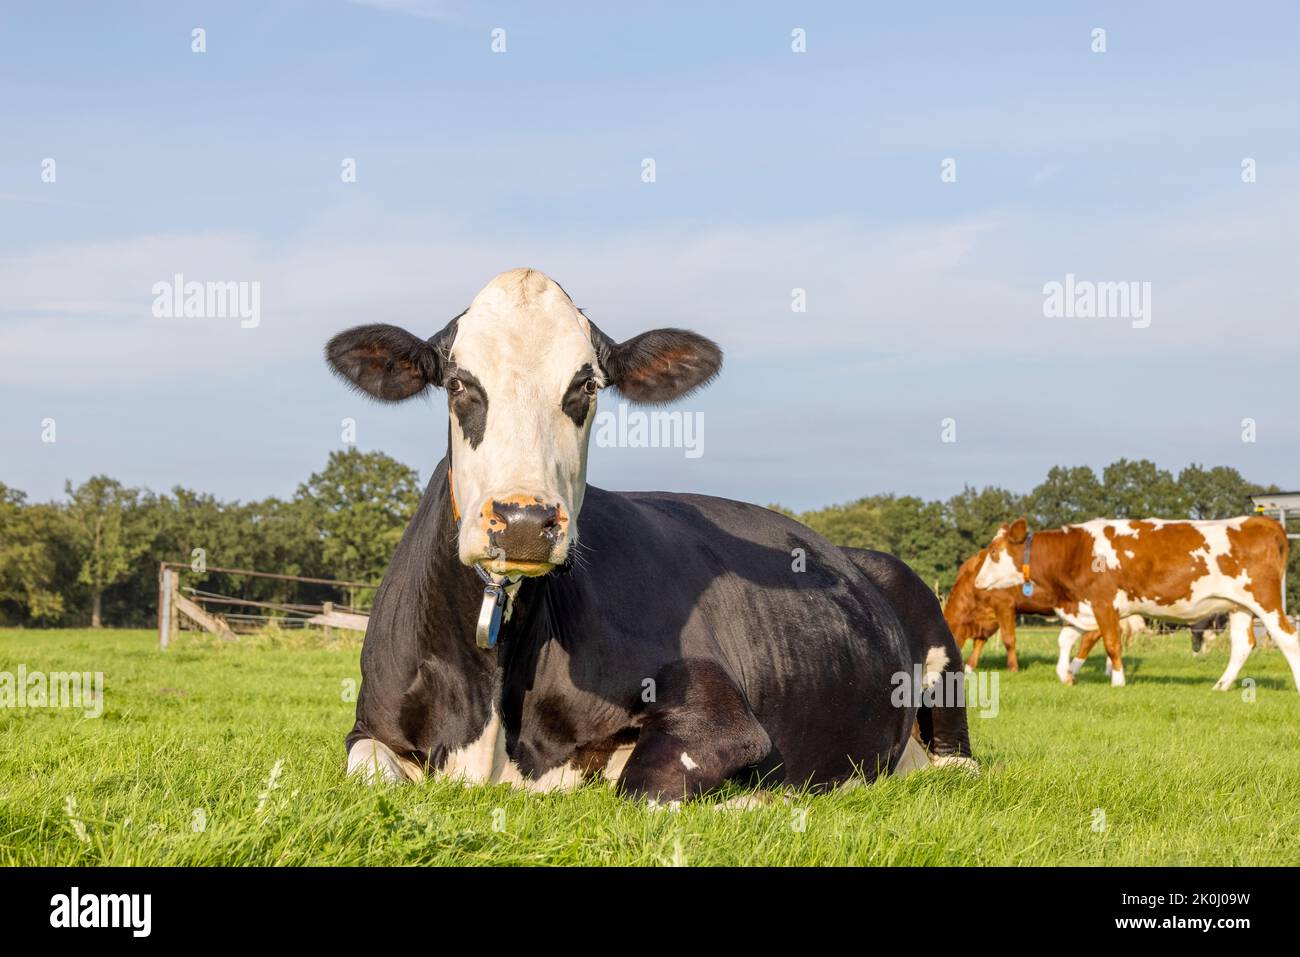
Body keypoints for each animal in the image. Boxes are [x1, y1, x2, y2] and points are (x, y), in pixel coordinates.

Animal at [326, 268, 973, 802]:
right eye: (458, 384)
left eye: (587, 386)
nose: (525, 521)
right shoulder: (369, 726)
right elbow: (369, 772)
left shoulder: (718, 713)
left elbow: (642, 787)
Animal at [972, 516, 1300, 690]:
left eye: (993, 552)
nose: (976, 582)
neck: (1075, 551)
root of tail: (1260, 521)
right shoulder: (1082, 606)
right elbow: (1065, 638)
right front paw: (1065, 674)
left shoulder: (1104, 603)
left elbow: (1111, 644)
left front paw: (1118, 681)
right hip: (1238, 606)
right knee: (1243, 645)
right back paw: (1221, 686)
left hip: (1264, 600)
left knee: (1287, 638)